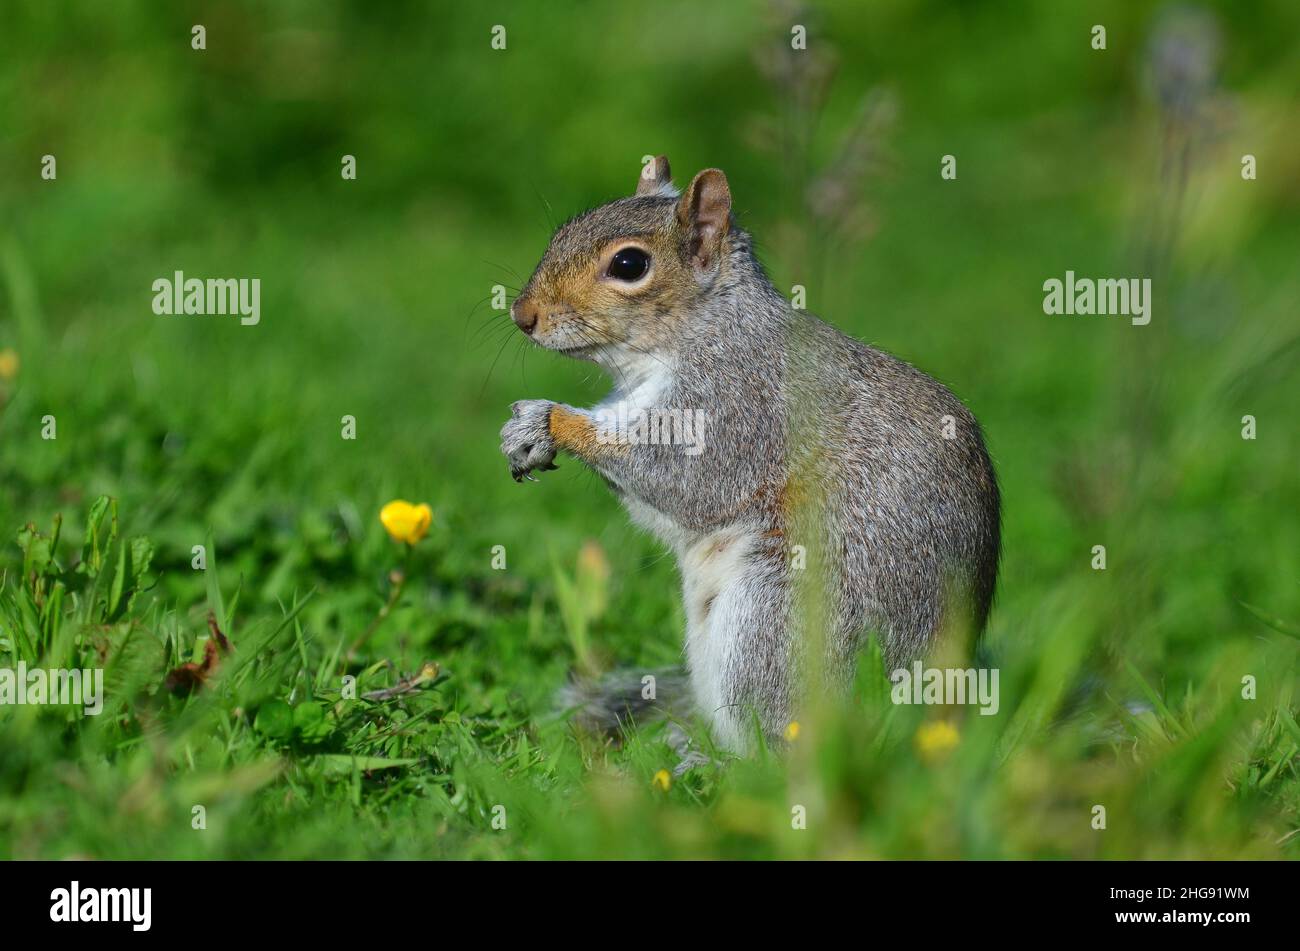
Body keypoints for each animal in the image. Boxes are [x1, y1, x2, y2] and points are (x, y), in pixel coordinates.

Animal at [500, 156, 1000, 754]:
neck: (702, 329)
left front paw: (552, 419)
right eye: (562, 231)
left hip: (779, 622)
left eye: (629, 264)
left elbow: (683, 480)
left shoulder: (738, 408)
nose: (522, 314)